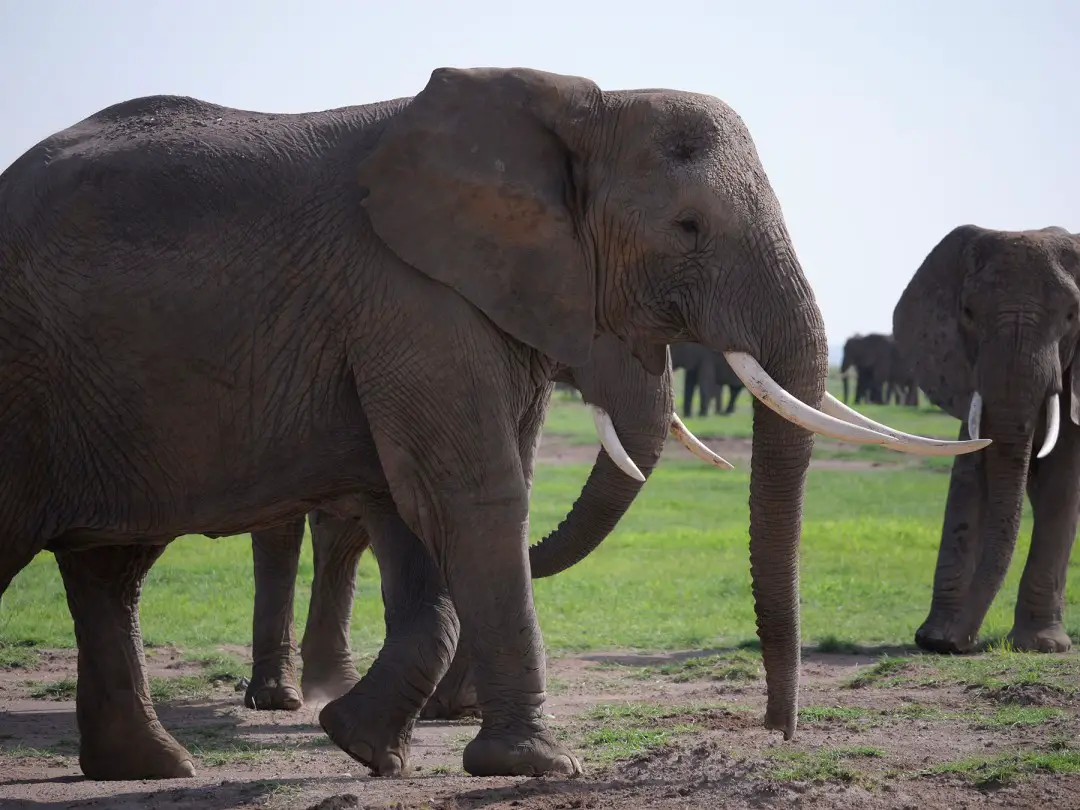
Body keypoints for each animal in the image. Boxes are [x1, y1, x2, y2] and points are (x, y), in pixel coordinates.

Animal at [0, 66, 986, 782]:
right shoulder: (409, 299)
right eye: (688, 226)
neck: (581, 105)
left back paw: (152, 768)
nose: (777, 731)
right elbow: (472, 497)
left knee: (110, 572)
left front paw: (363, 744)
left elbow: (415, 511)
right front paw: (535, 767)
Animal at [894, 224, 1080, 655]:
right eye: (968, 313)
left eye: (1070, 315)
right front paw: (937, 635)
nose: (956, 645)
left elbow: (1060, 482)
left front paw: (1041, 646)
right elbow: (970, 476)